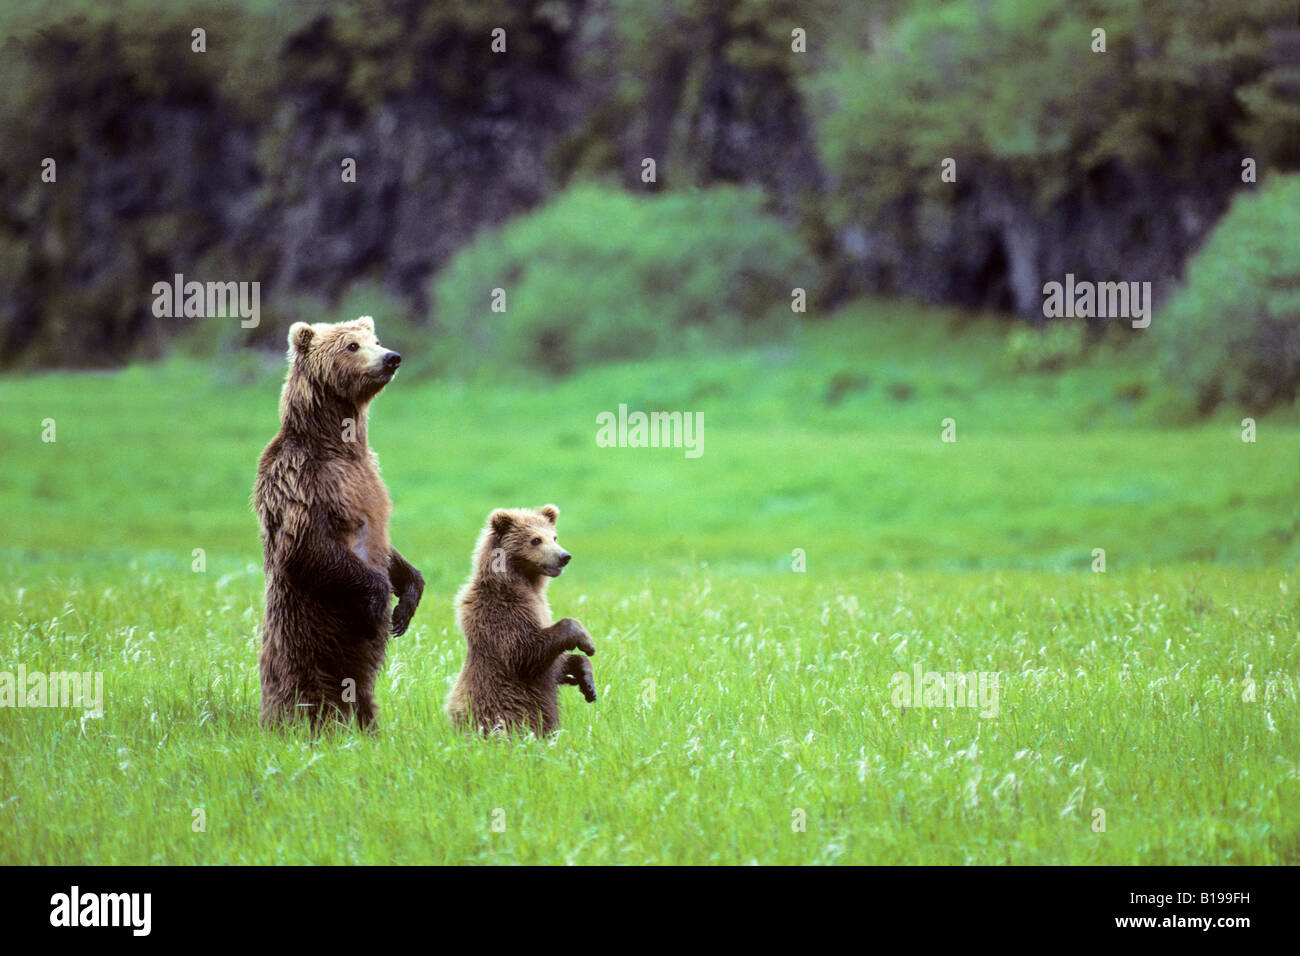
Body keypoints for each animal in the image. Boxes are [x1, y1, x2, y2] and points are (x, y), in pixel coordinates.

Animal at [254, 315, 423, 730]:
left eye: (375, 340)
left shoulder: (368, 475)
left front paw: (407, 601)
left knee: (361, 687)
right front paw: (380, 603)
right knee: (304, 682)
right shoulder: (302, 480)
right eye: (351, 346)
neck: (338, 443)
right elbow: (307, 546)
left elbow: (388, 547)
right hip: (306, 633)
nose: (392, 357)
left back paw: (369, 726)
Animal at [446, 504, 597, 736]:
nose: (564, 556)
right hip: (500, 710)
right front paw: (586, 640)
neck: (523, 582)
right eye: (535, 540)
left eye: (554, 536)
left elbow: (556, 664)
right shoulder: (502, 611)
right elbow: (523, 652)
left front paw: (587, 682)